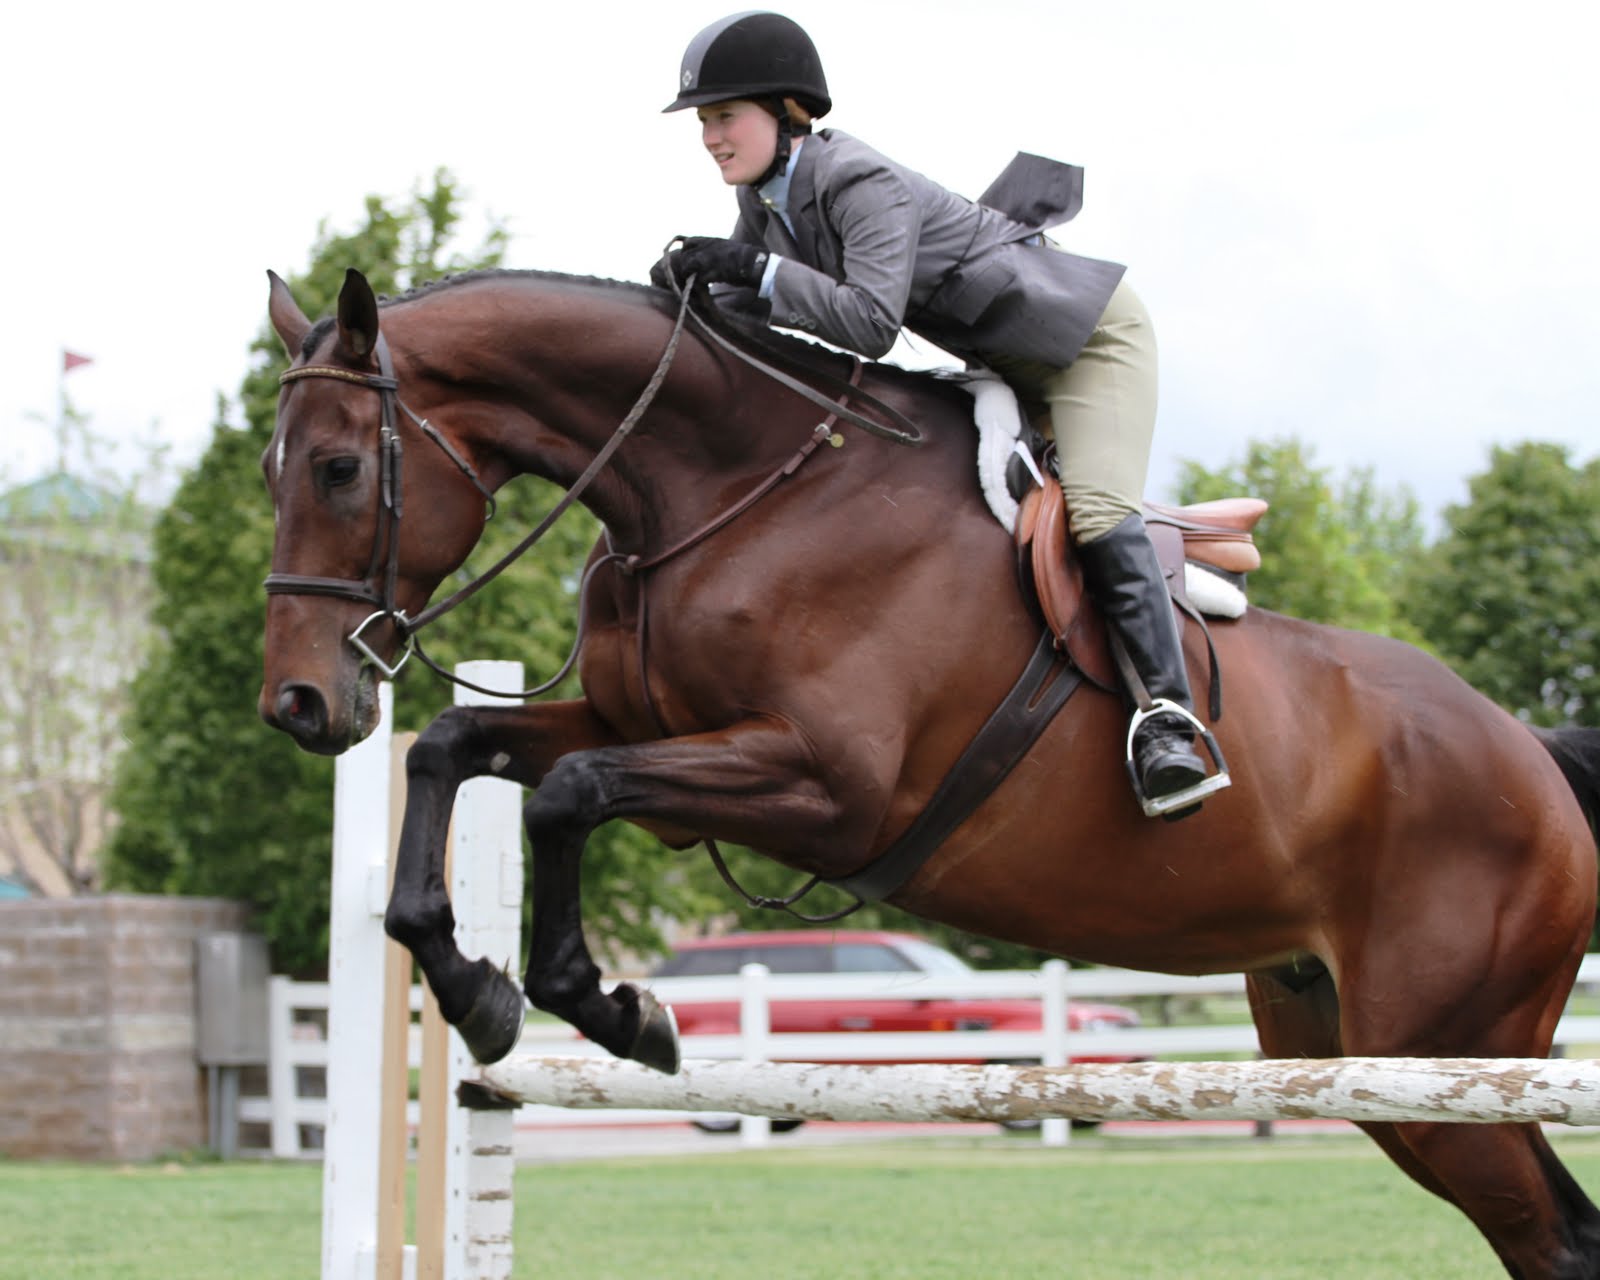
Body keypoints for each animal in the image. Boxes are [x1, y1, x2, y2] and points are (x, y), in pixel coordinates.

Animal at [259, 265, 1600, 1278]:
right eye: (272, 472)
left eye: (336, 468)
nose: (301, 702)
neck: (726, 493)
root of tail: (1529, 754)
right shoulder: (644, 724)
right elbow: (455, 746)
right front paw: (474, 987)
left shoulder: (827, 788)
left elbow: (572, 791)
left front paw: (609, 1006)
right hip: (1361, 1055)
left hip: (1444, 1053)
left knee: (1557, 1235)